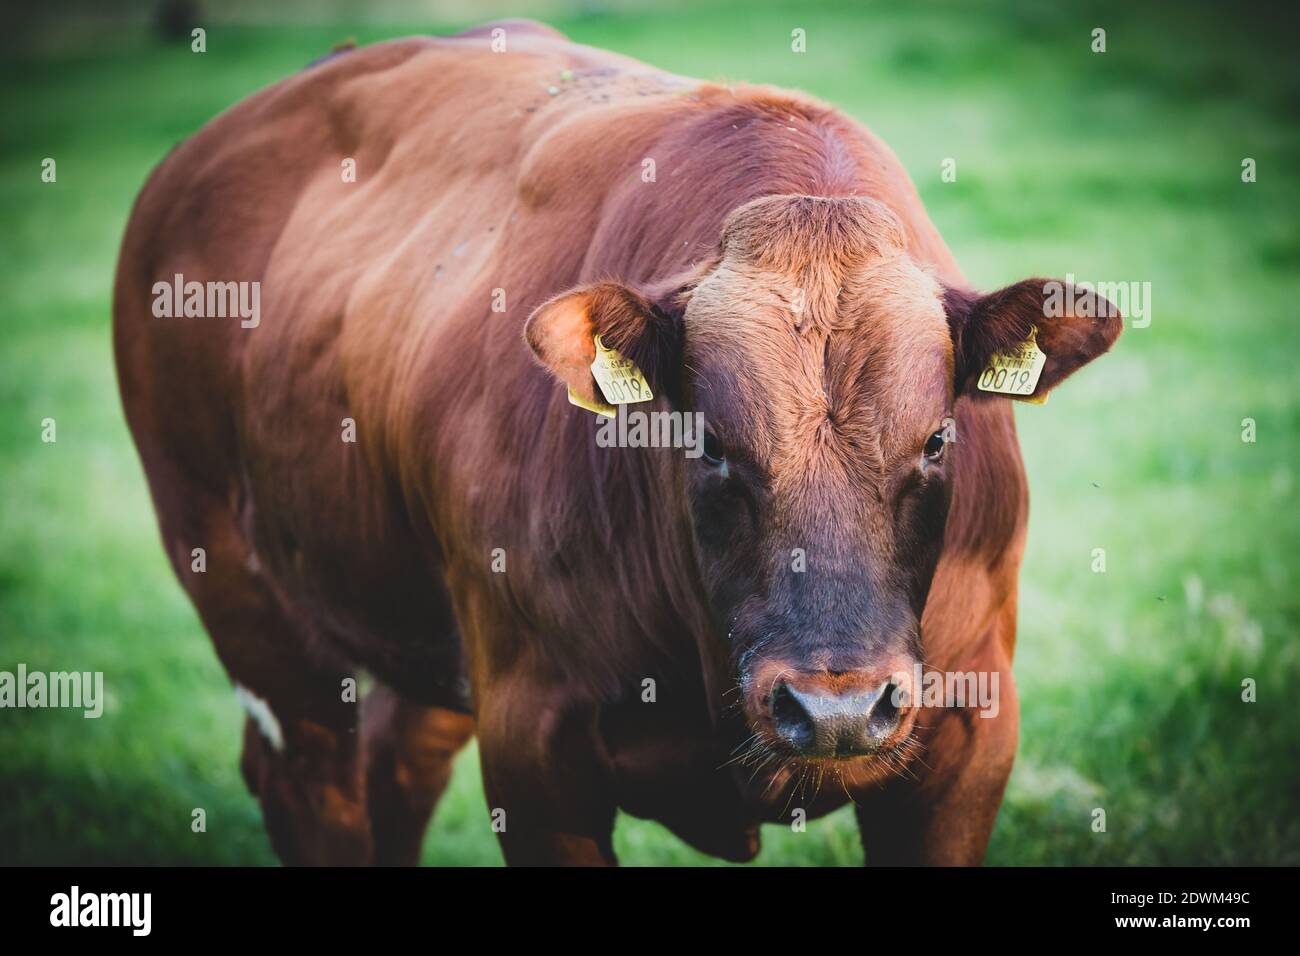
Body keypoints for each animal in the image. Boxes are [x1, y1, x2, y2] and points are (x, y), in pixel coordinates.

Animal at [113, 20, 1121, 865]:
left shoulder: (968, 742)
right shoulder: (535, 756)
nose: (834, 708)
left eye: (939, 437)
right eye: (709, 441)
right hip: (246, 594)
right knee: (313, 782)